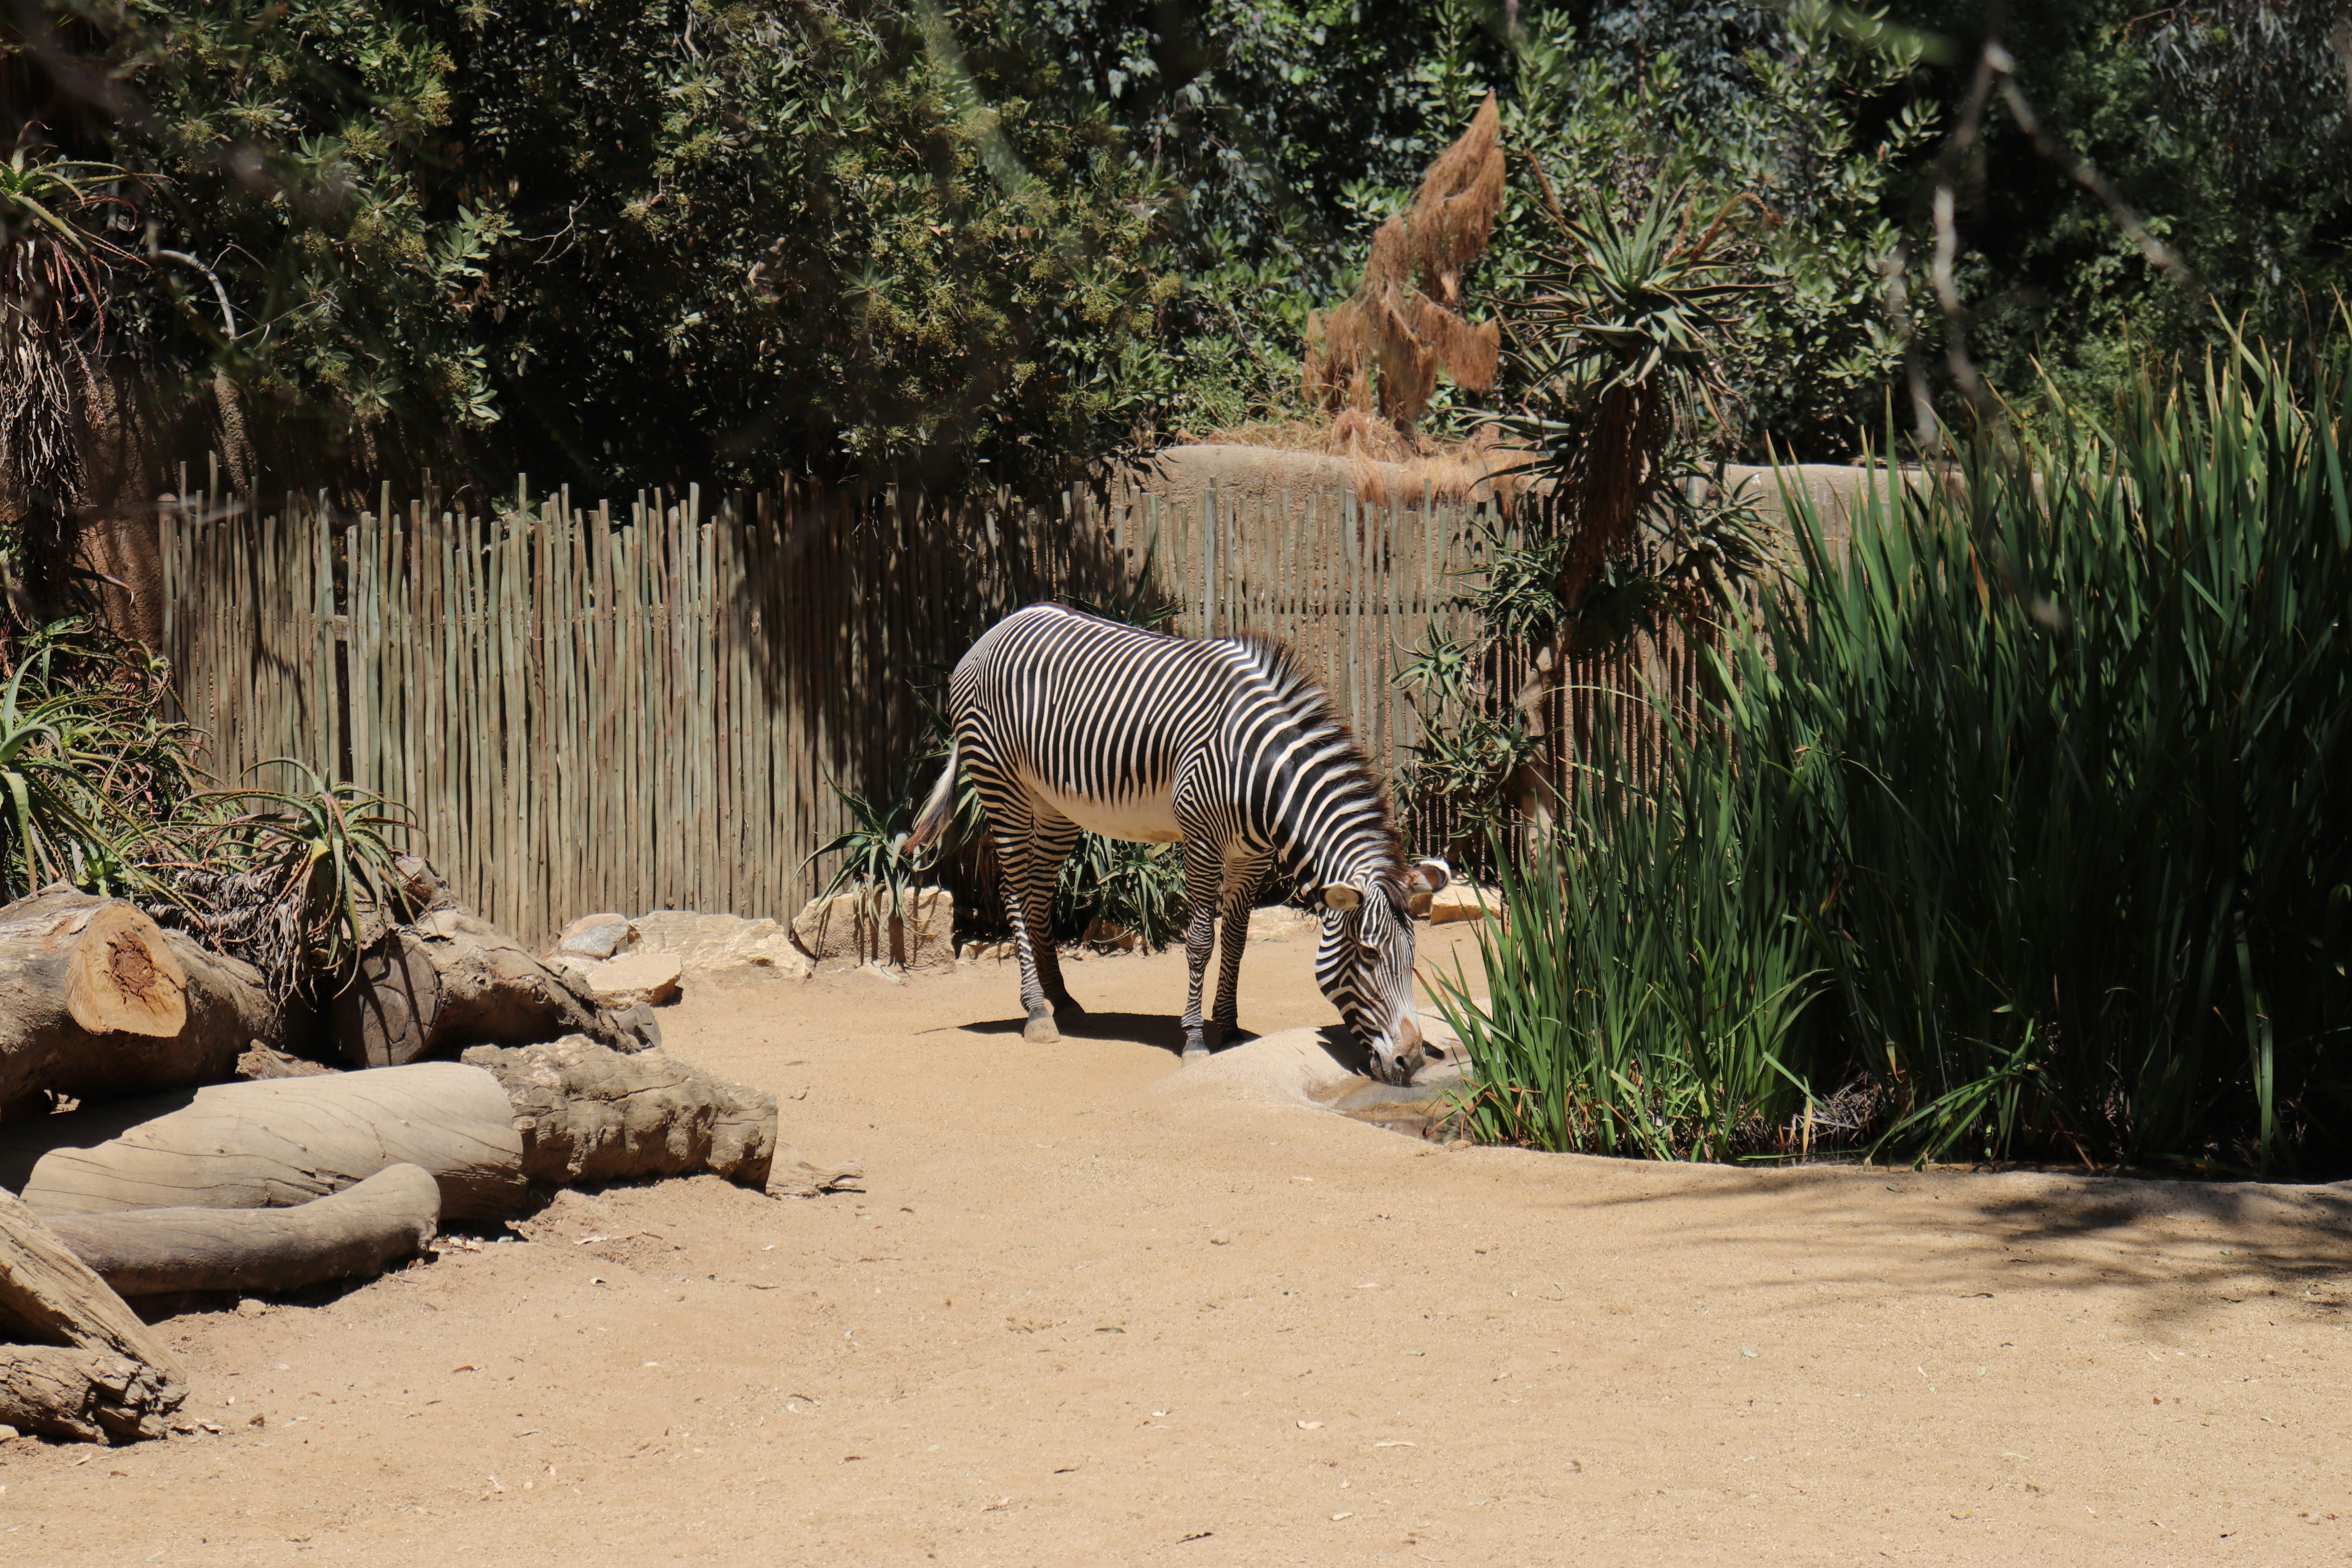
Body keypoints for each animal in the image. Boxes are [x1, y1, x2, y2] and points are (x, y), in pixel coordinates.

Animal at [906, 602, 1450, 1085]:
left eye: (1413, 955)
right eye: (1369, 955)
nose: (1412, 1063)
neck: (1262, 772)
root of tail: (997, 627)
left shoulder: (1251, 856)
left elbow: (1236, 941)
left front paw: (1230, 1028)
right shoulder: (1203, 841)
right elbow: (1202, 941)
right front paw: (1194, 1040)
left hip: (1055, 806)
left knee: (1039, 895)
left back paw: (1061, 1000)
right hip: (1004, 787)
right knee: (1016, 893)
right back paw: (1038, 1012)